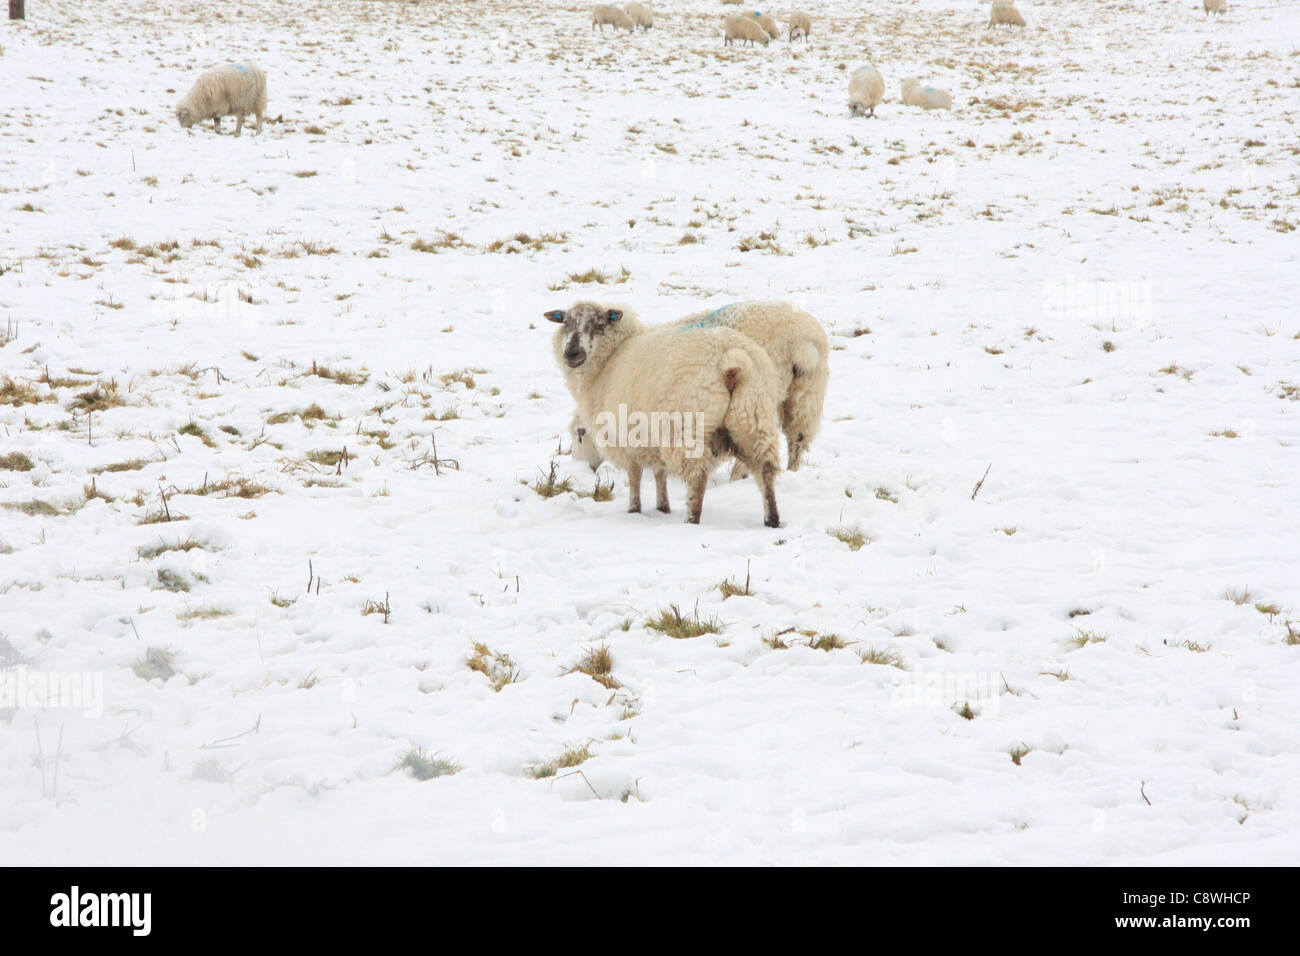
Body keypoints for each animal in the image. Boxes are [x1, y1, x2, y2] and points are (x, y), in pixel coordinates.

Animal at [547, 302, 784, 527]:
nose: (571, 353)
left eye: (598, 324)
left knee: (697, 477)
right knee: (765, 469)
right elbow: (660, 472)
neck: (608, 362)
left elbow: (635, 475)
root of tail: (730, 359)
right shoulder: (651, 439)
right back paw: (771, 519)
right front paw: (663, 507)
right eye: (565, 322)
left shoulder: (627, 439)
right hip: (753, 416)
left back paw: (691, 520)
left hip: (686, 426)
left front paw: (634, 510)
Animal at [570, 300, 829, 476]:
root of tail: (802, 342)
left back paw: (738, 475)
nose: (586, 468)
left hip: (760, 393)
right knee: (798, 436)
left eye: (580, 434)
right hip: (807, 391)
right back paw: (792, 471)